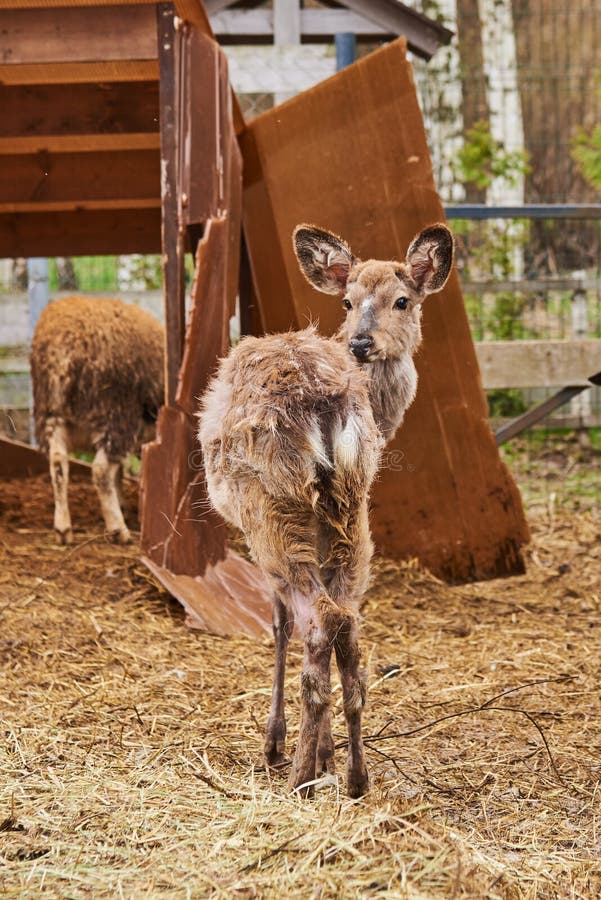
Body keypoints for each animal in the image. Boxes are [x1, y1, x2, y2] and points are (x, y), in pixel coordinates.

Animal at [31, 295, 164, 545]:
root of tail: (64, 350)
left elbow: (118, 472)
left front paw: (122, 501)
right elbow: (116, 471)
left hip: (51, 414)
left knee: (58, 465)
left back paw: (63, 528)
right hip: (115, 413)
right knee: (100, 471)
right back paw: (117, 530)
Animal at [198, 223, 454, 797]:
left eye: (402, 300)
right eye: (347, 300)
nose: (361, 341)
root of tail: (325, 400)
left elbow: (278, 626)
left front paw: (279, 744)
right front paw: (328, 753)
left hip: (273, 507)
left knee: (319, 620)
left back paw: (296, 778)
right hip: (352, 510)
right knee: (349, 629)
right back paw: (355, 776)